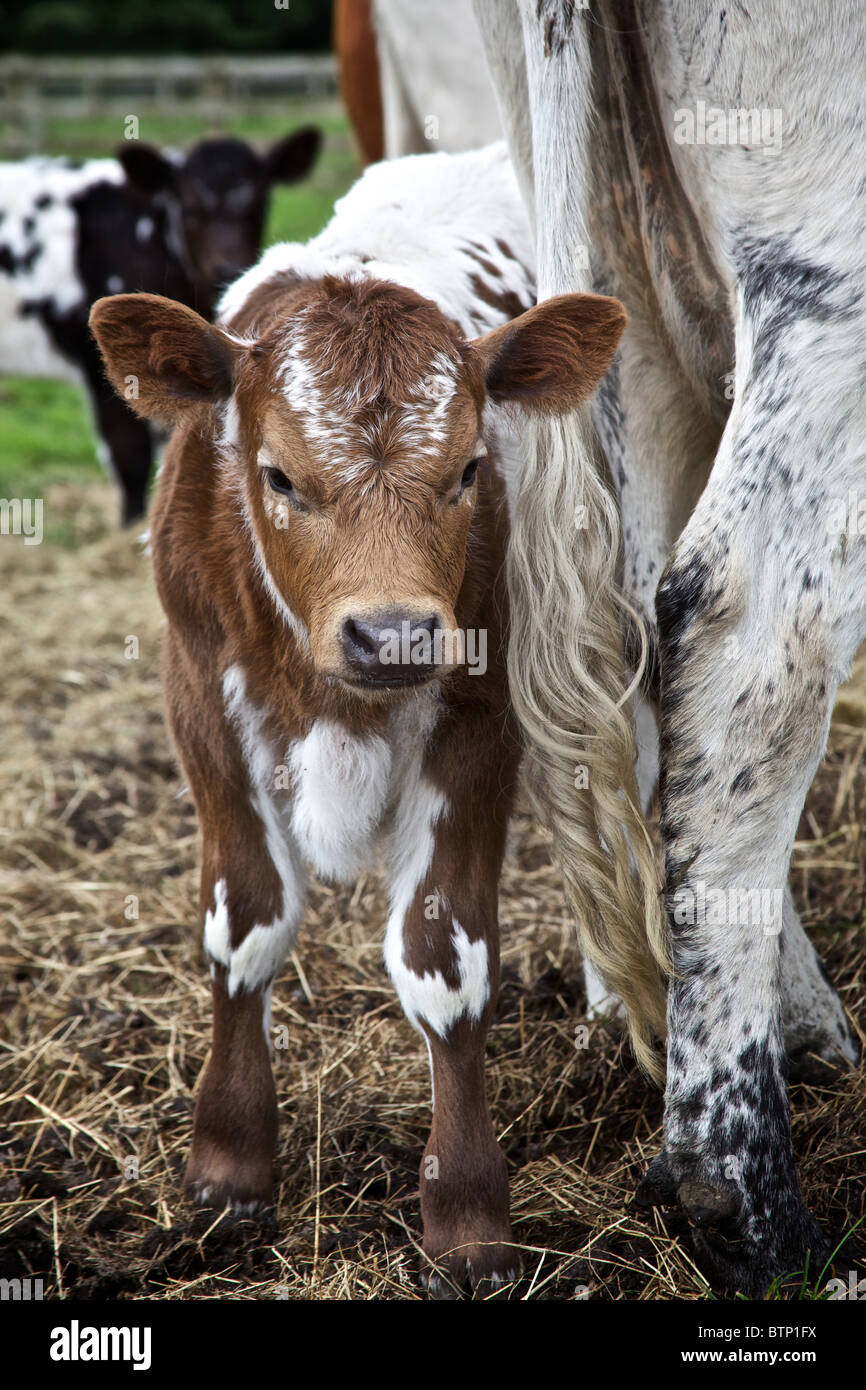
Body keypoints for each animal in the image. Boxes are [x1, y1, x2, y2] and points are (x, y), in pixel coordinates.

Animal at [89, 142, 629, 1296]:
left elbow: (444, 955)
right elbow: (244, 922)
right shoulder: (199, 698)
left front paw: (467, 1212)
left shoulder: (481, 718)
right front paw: (228, 1166)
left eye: (468, 468)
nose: (393, 635)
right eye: (279, 476)